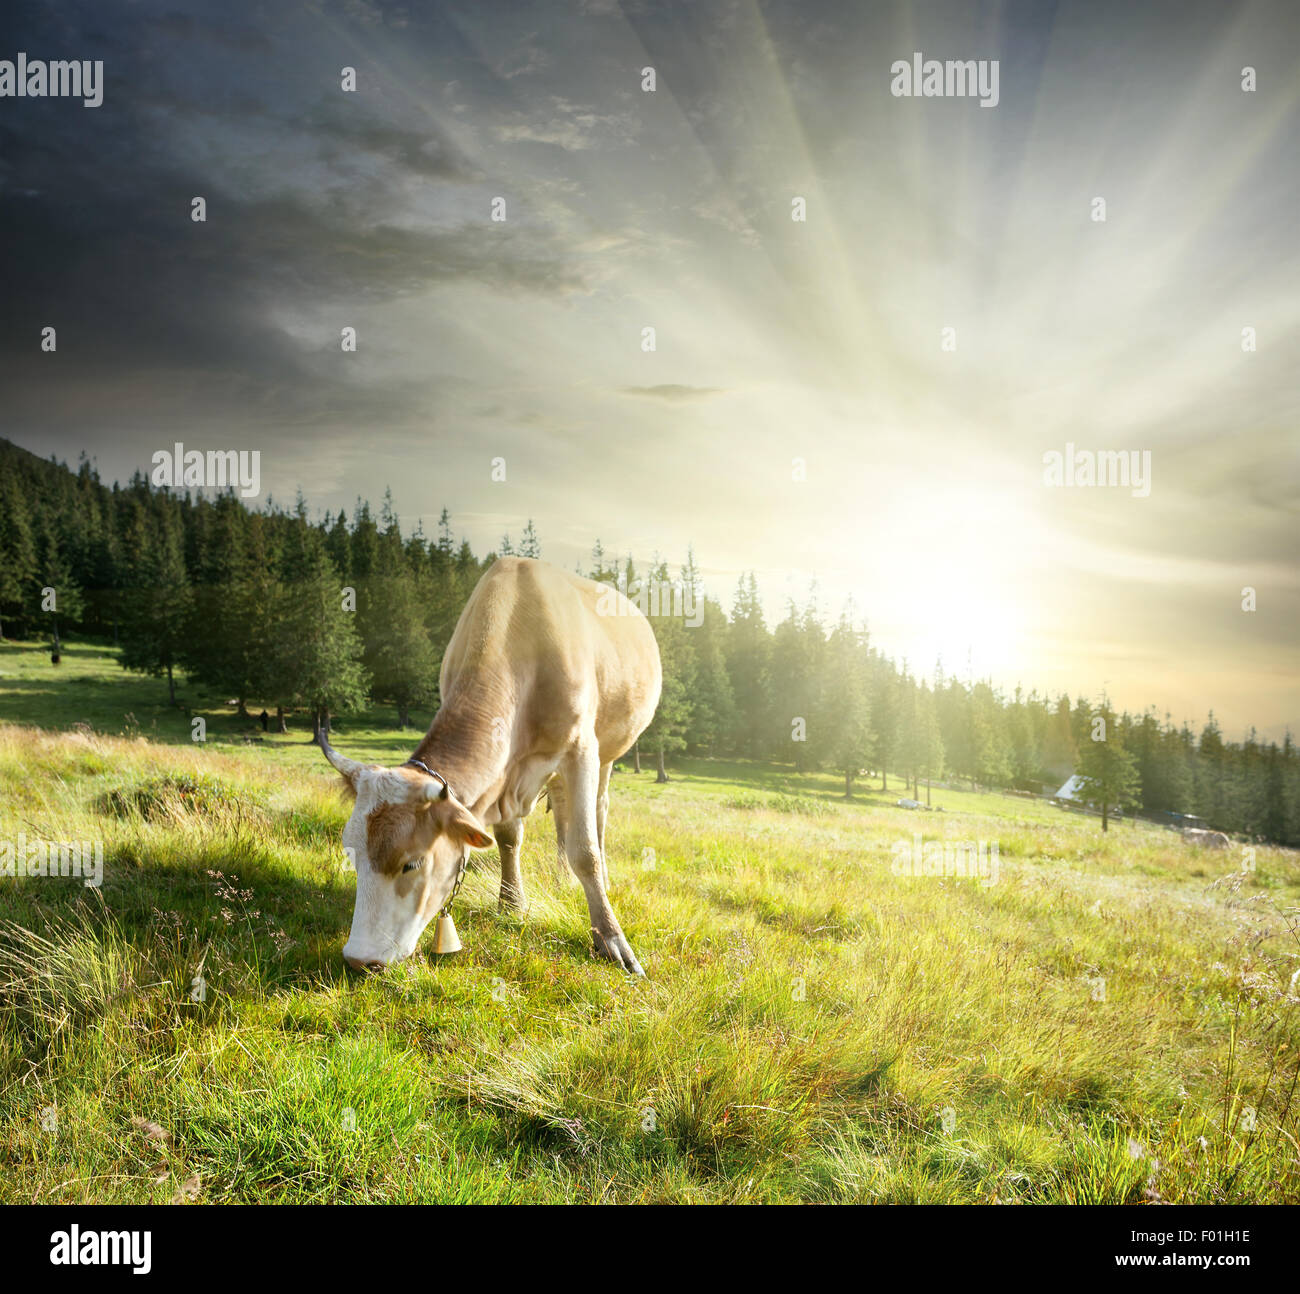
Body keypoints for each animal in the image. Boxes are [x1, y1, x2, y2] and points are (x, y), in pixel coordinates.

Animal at [319, 557, 662, 975]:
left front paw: (610, 938)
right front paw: (512, 903)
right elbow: (509, 837)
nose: (359, 958)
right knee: (563, 811)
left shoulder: (582, 747)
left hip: (610, 752)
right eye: (351, 854)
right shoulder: (506, 777)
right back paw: (561, 878)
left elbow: (586, 851)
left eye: (411, 864)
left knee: (597, 813)